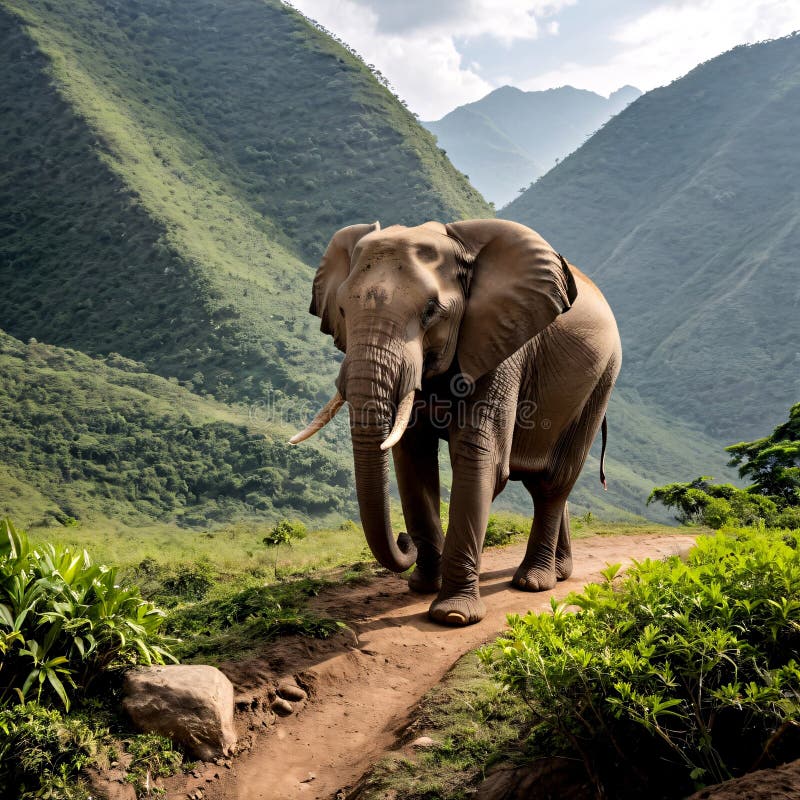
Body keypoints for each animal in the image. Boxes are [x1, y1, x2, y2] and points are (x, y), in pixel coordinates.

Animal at [290, 218, 621, 626]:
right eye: (341, 308)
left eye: (431, 311)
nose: (404, 542)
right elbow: (412, 458)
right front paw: (423, 587)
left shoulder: (498, 341)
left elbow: (478, 457)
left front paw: (453, 615)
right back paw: (559, 573)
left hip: (602, 379)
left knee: (553, 482)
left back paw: (533, 582)